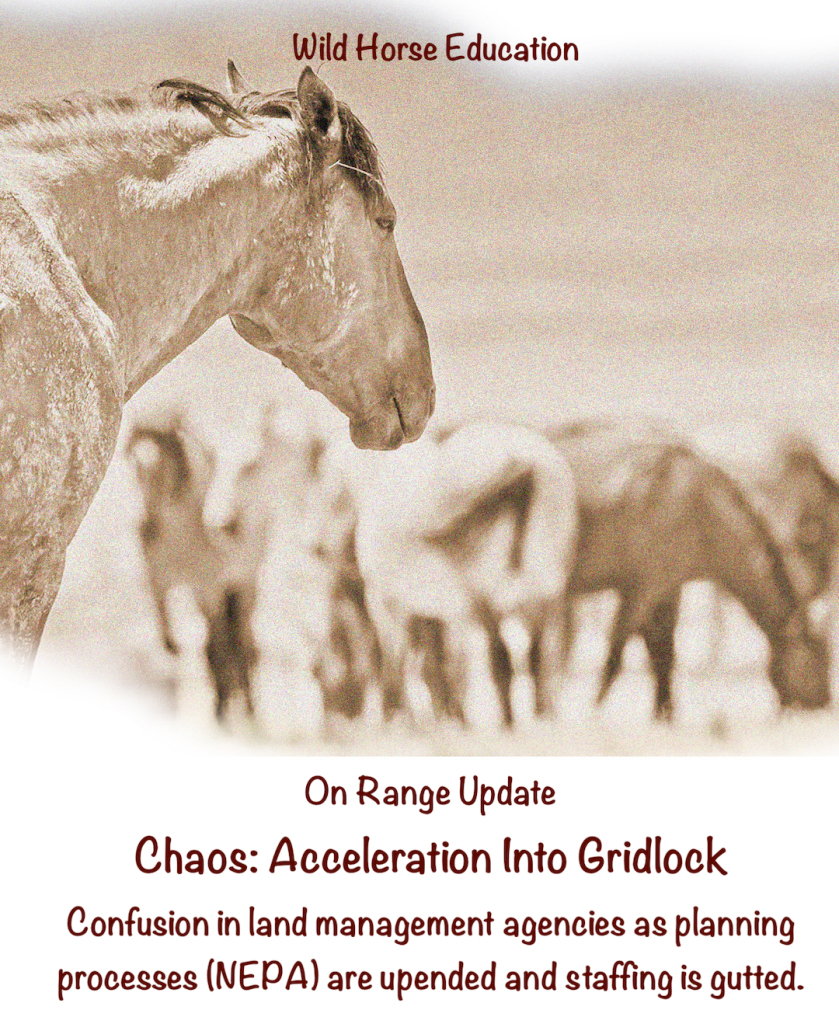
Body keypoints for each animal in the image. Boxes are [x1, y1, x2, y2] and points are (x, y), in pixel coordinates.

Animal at [548, 419, 831, 720]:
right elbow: (616, 654)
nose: (825, 702)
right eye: (820, 660)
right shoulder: (639, 591)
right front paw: (592, 712)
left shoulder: (668, 590)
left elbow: (664, 655)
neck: (699, 506)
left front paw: (665, 713)